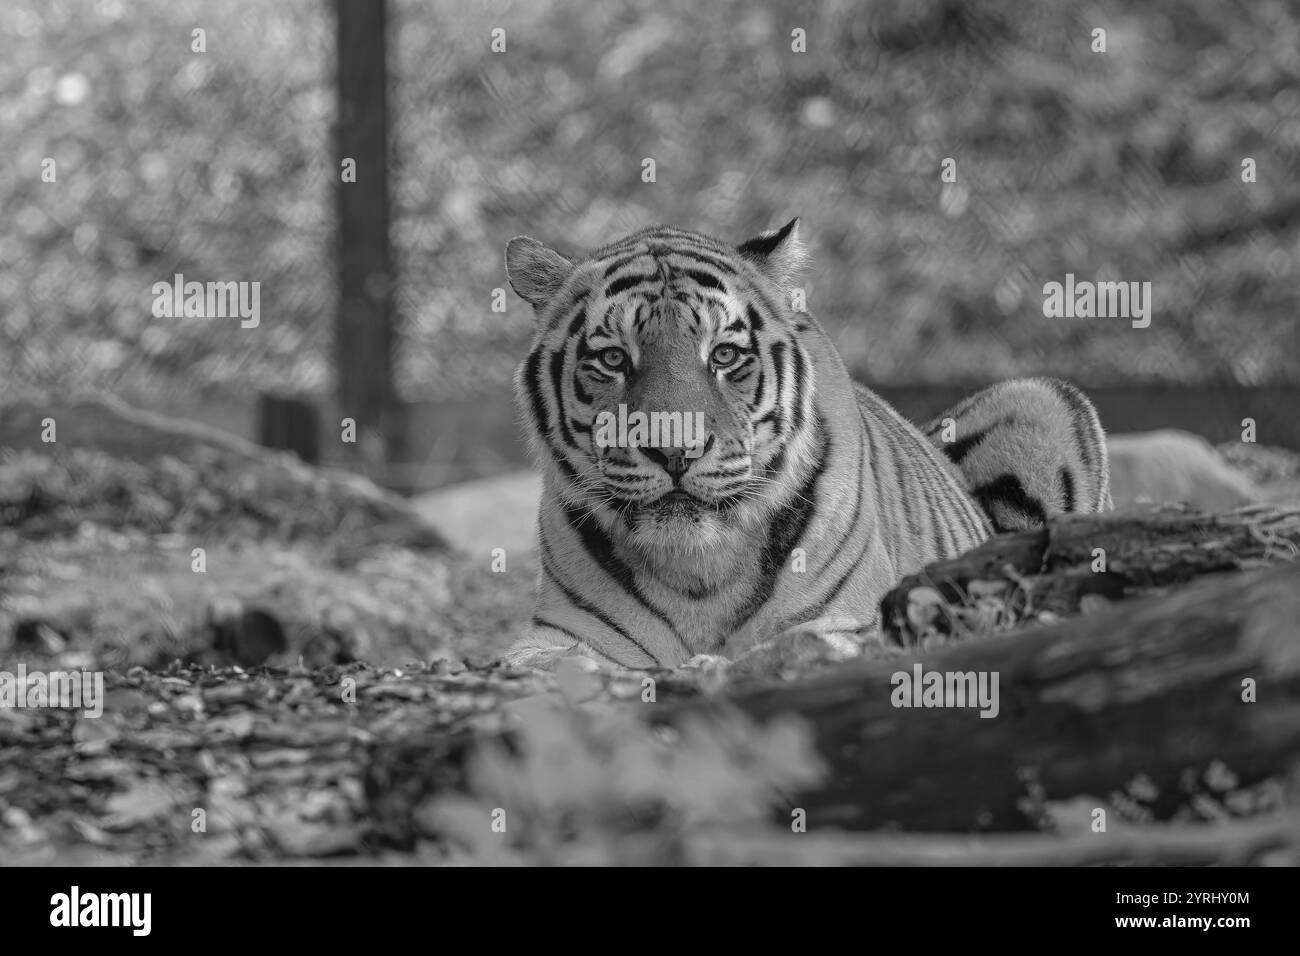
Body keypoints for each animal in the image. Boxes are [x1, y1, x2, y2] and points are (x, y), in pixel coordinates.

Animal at [501, 219, 1110, 670]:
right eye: (612, 359)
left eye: (724, 355)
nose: (676, 450)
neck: (695, 571)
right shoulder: (562, 631)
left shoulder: (855, 615)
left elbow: (794, 643)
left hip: (1040, 397)